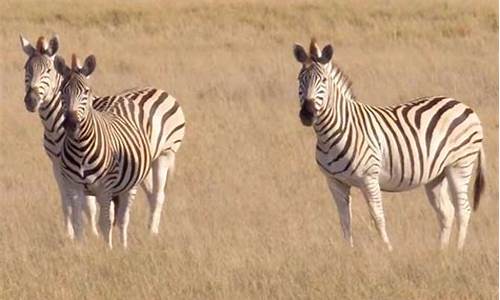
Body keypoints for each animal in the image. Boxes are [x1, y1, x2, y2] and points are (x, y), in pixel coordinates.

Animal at [19, 35, 186, 240]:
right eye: (27, 69)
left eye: (48, 71)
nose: (31, 100)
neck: (54, 125)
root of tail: (160, 89)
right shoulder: (57, 165)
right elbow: (67, 204)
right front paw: (70, 236)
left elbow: (88, 205)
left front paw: (93, 234)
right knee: (150, 193)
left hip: (165, 154)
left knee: (159, 195)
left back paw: (152, 233)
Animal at [292, 39, 484, 251]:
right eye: (299, 79)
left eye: (324, 80)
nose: (307, 113)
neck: (331, 134)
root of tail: (464, 105)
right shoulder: (335, 182)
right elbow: (344, 220)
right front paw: (348, 252)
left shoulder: (369, 178)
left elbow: (378, 218)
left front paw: (387, 250)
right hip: (436, 175)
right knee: (447, 212)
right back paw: (441, 252)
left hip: (460, 165)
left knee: (463, 209)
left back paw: (458, 251)